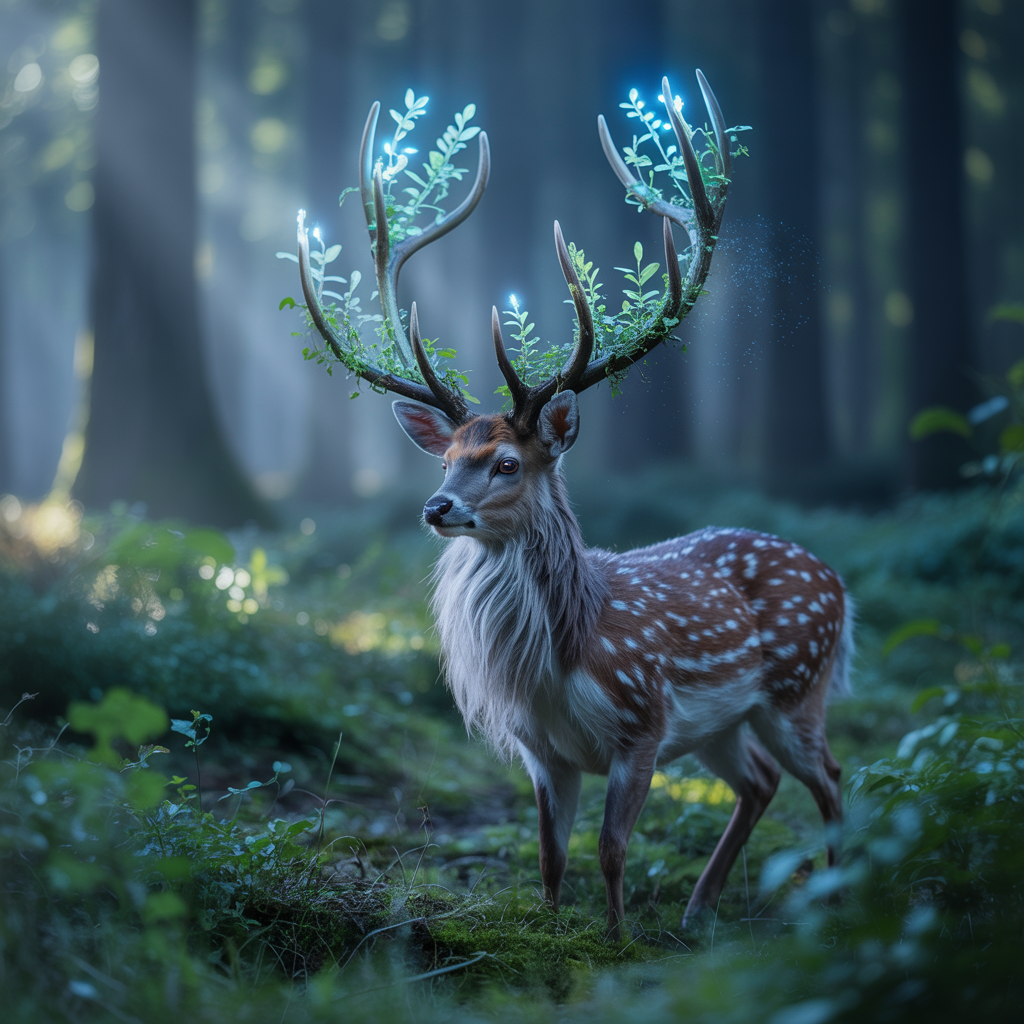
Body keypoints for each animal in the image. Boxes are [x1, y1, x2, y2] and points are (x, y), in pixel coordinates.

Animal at [291, 73, 853, 938]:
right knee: (760, 781)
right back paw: (698, 910)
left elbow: (611, 852)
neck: (557, 665)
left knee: (829, 777)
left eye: (507, 464)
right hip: (727, 723)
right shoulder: (542, 751)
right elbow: (553, 859)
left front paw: (617, 941)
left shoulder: (643, 723)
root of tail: (837, 582)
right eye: (448, 459)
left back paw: (834, 902)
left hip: (798, 684)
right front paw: (555, 932)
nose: (437, 508)